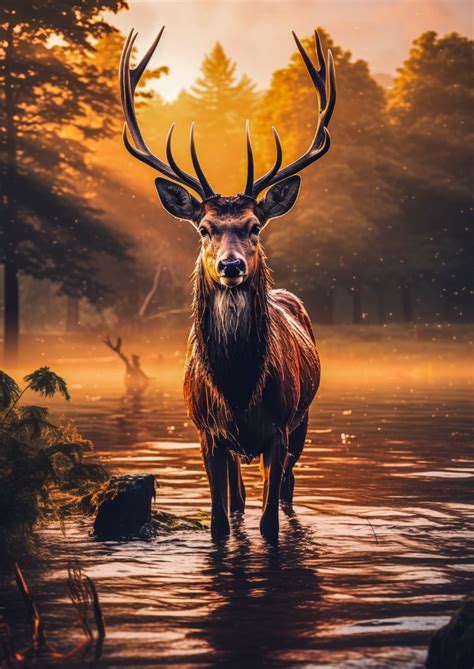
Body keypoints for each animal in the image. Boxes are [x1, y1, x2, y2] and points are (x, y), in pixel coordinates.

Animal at [119, 27, 336, 540]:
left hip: (303, 422)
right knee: (237, 501)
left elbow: (270, 523)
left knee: (287, 493)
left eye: (255, 226)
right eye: (204, 229)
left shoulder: (279, 429)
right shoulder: (207, 433)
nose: (231, 265)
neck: (238, 392)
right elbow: (219, 523)